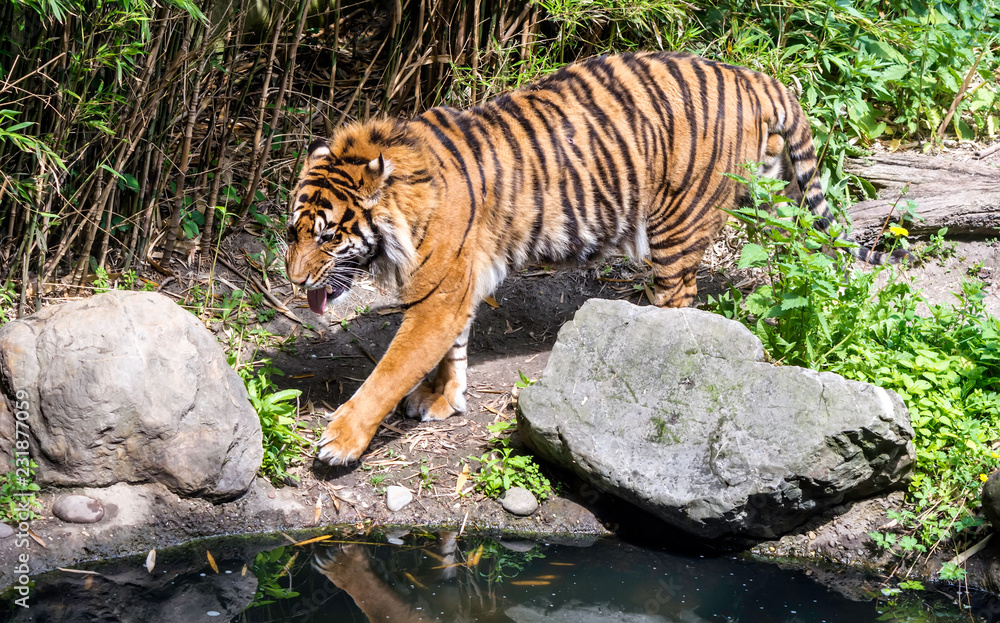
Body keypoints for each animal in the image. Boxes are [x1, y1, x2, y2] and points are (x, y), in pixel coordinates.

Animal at [286, 51, 898, 465]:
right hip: (775, 197)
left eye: (327, 236)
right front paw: (441, 399)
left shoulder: (440, 293)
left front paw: (341, 441)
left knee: (681, 308)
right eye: (293, 233)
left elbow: (391, 369)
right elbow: (448, 351)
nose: (291, 281)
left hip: (675, 227)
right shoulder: (454, 285)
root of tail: (755, 75)